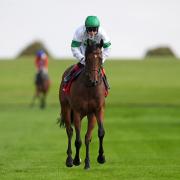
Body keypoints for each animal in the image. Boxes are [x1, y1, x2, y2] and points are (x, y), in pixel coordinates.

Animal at [59, 39, 107, 169]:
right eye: (88, 58)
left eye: (100, 58)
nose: (94, 80)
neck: (89, 87)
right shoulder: (77, 111)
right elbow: (78, 139)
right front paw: (76, 160)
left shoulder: (97, 110)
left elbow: (97, 134)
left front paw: (99, 158)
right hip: (66, 108)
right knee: (70, 132)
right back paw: (70, 159)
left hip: (89, 114)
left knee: (84, 136)